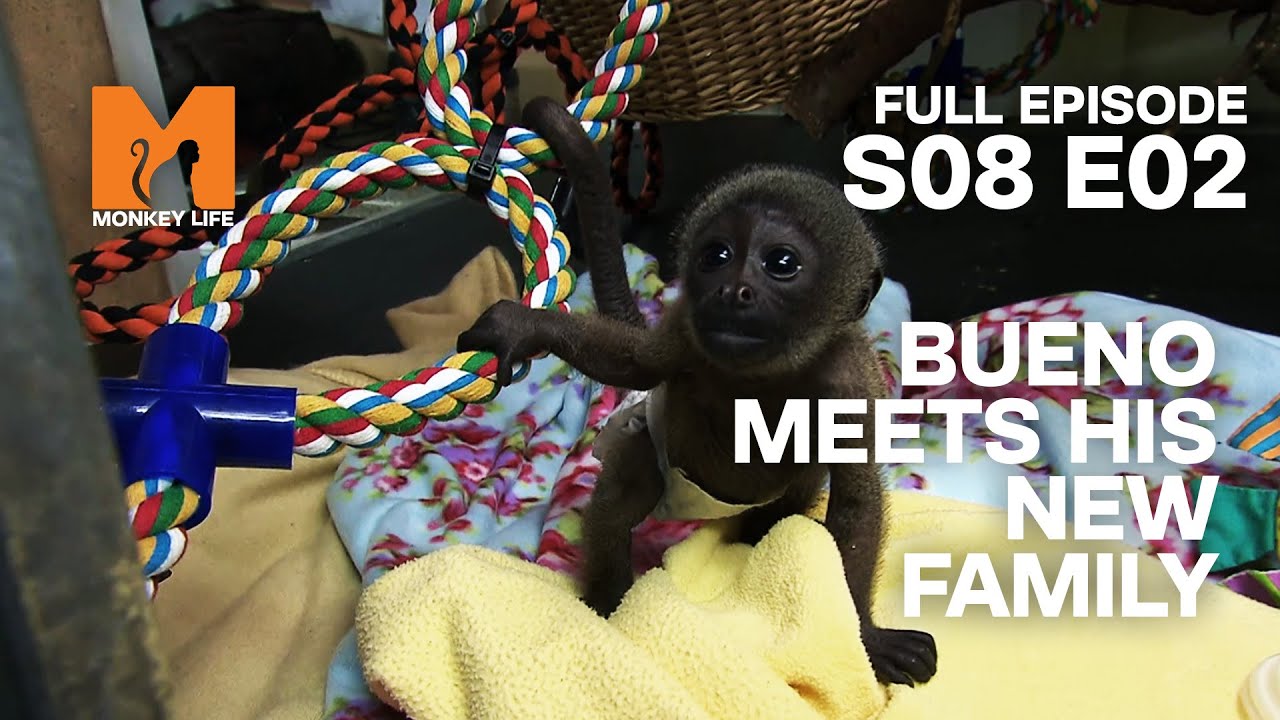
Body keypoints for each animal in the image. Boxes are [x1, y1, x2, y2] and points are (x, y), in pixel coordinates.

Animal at [456, 96, 938, 687]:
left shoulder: (850, 380)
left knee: (802, 482)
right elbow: (635, 363)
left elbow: (855, 501)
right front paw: (524, 326)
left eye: (781, 263)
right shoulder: (685, 329)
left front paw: (866, 636)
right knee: (623, 497)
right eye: (717, 255)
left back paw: (759, 531)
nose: (733, 290)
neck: (765, 372)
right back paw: (607, 605)